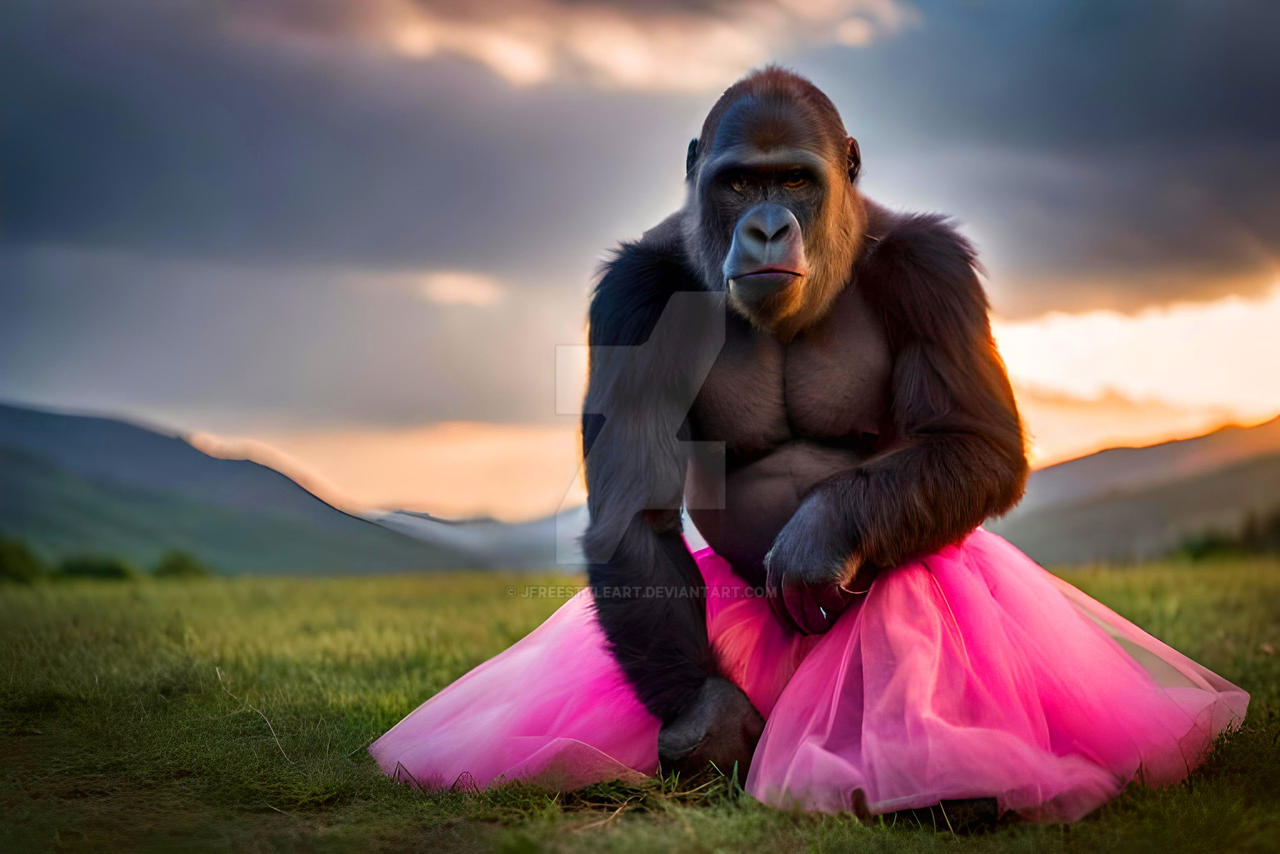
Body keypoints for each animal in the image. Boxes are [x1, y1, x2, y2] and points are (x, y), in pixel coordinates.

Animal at [581, 67, 1028, 778]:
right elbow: (636, 515)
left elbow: (972, 441)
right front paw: (710, 717)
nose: (766, 229)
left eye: (795, 180)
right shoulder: (634, 291)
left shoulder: (933, 268)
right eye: (739, 184)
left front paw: (823, 531)